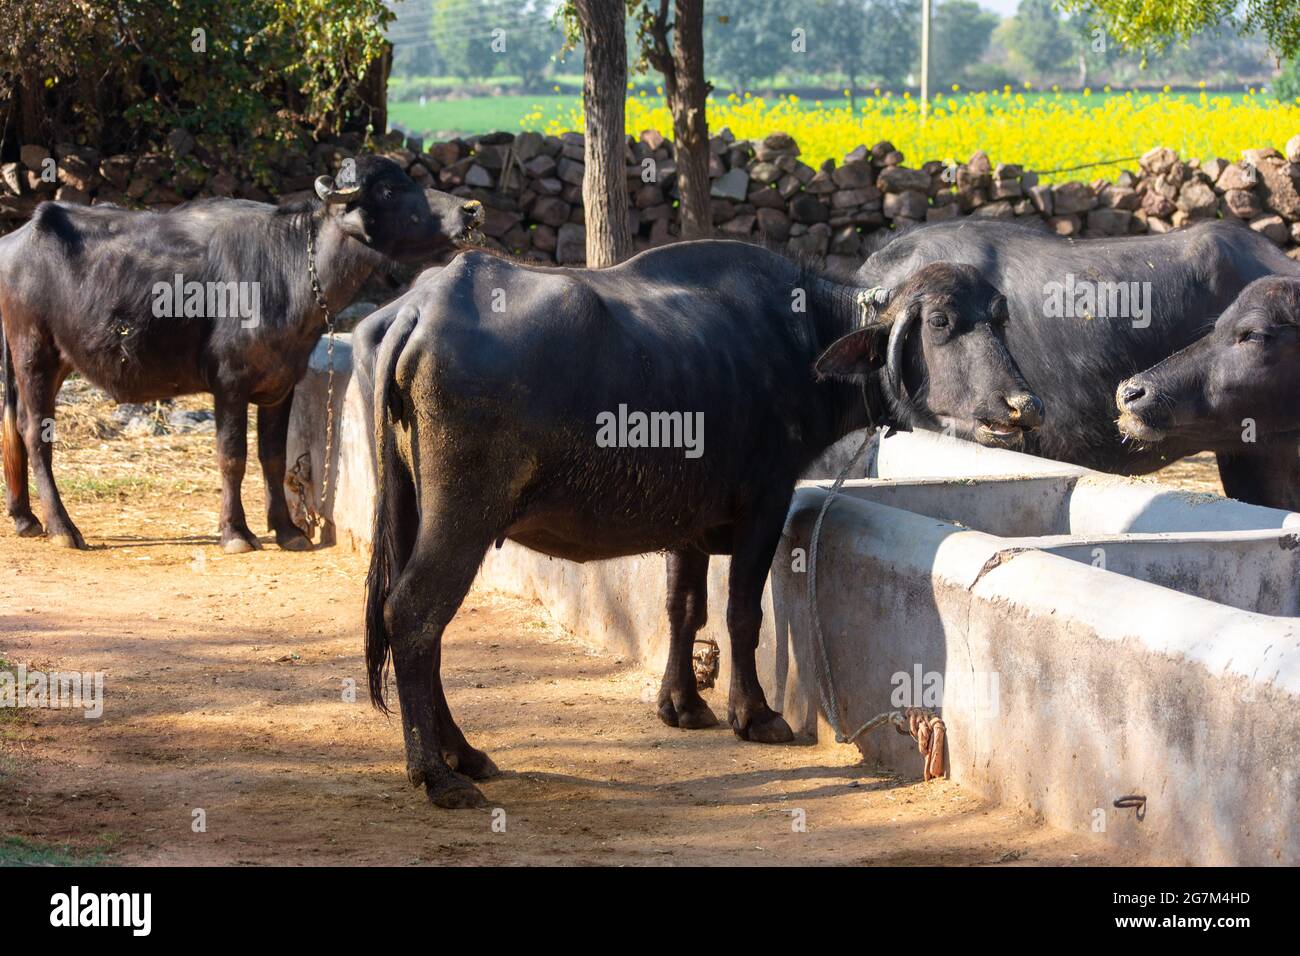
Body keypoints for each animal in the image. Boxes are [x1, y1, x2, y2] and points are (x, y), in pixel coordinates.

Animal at [0, 156, 482, 551]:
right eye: (388, 191)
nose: (470, 210)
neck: (290, 269)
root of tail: (14, 240)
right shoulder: (229, 384)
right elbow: (232, 456)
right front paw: (235, 532)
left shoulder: (281, 384)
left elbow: (274, 456)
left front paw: (287, 529)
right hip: (33, 352)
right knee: (34, 431)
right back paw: (63, 528)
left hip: (50, 360)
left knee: (15, 424)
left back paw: (25, 518)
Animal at [355, 241, 1040, 807]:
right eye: (942, 322)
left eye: (1000, 318)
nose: (1022, 406)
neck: (801, 341)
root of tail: (421, 307)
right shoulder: (765, 504)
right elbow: (742, 612)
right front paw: (754, 715)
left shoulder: (685, 524)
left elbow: (682, 607)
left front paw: (681, 703)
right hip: (463, 516)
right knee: (413, 614)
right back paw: (436, 775)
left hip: (410, 504)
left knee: (420, 622)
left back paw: (464, 755)